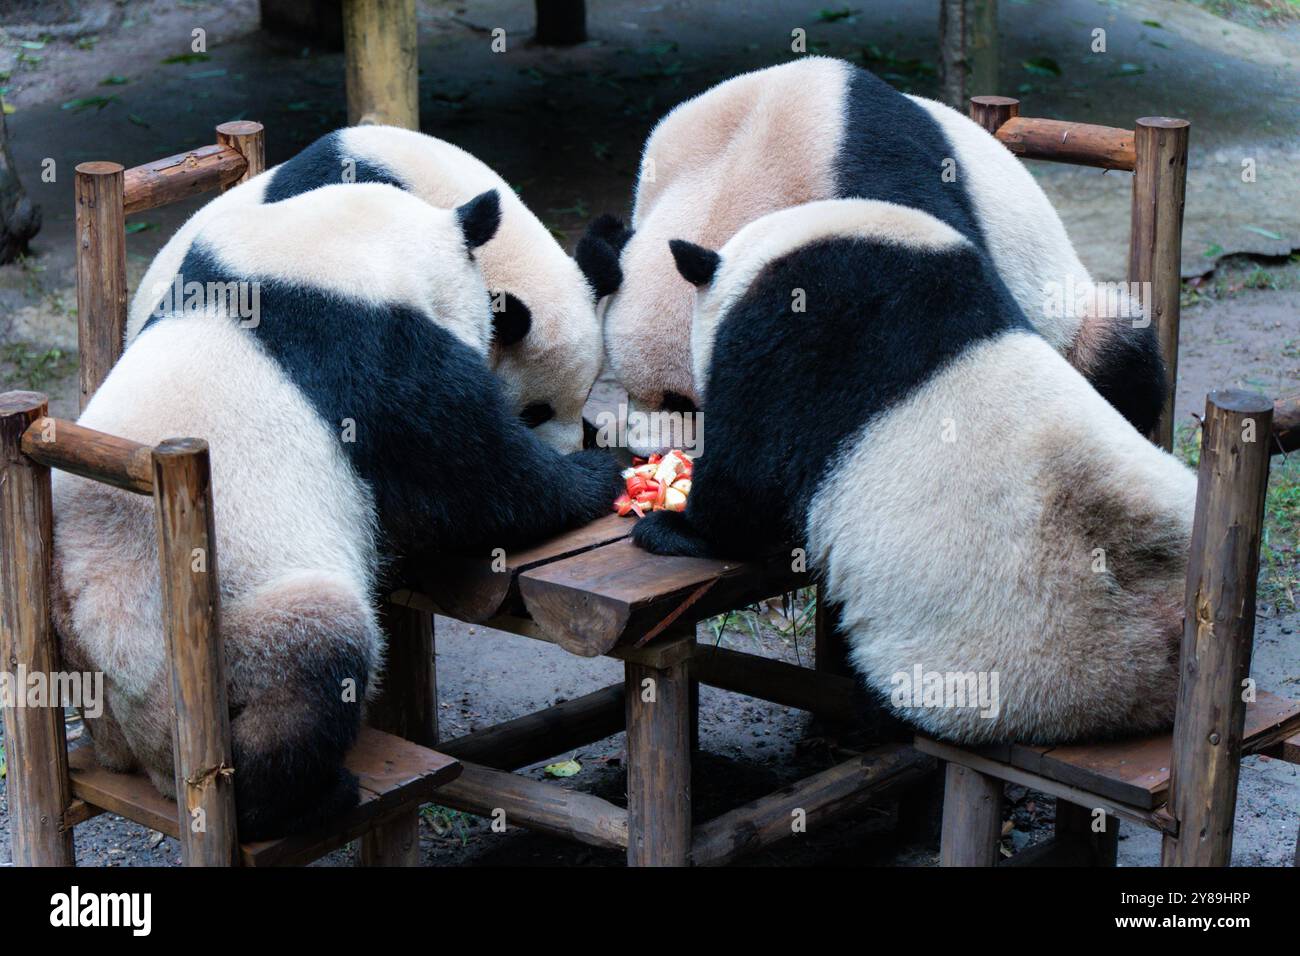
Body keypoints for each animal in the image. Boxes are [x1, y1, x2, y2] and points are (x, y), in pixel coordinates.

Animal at [55, 183, 622, 838]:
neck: (333, 251)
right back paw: (303, 800)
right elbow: (470, 470)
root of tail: (146, 757)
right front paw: (599, 476)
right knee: (317, 658)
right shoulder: (375, 351)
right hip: (230, 637)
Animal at [577, 57, 1164, 455]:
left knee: (1117, 350)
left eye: (683, 400)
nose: (651, 451)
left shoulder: (877, 172)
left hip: (1072, 315)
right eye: (626, 390)